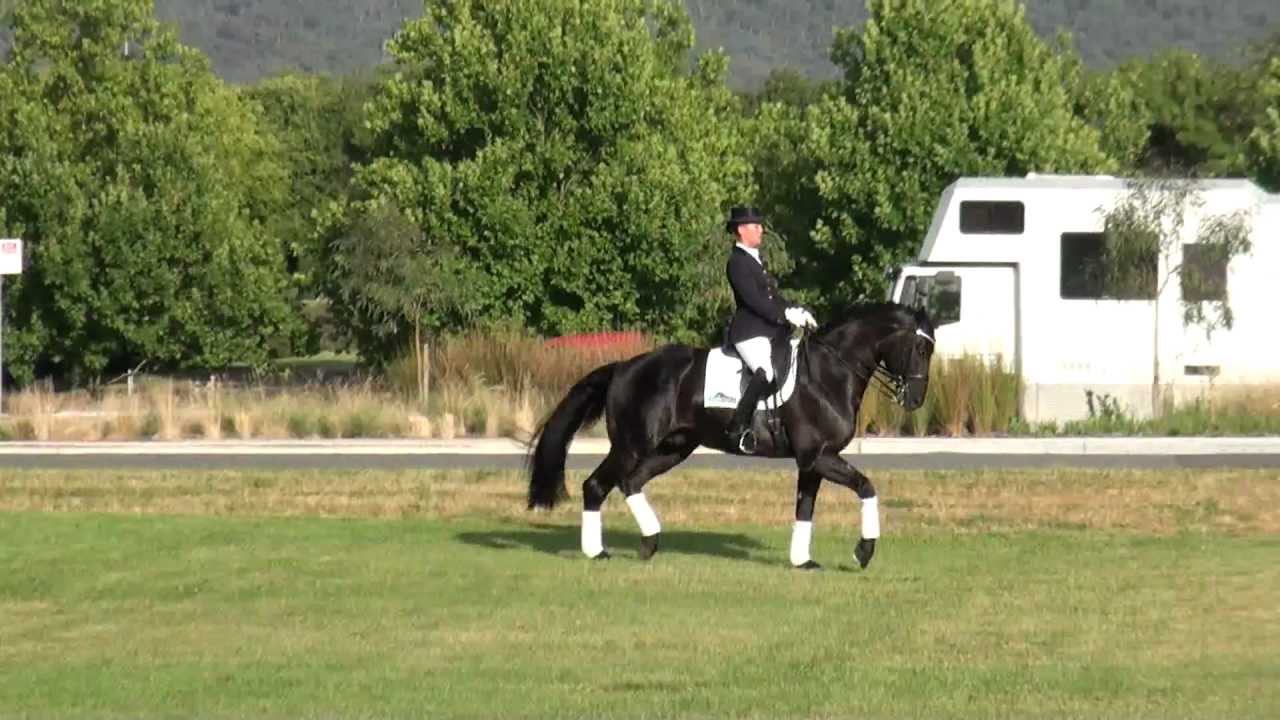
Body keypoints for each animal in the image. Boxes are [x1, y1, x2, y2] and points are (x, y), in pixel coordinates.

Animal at [524, 301, 936, 570]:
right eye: (919, 346)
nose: (915, 399)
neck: (829, 372)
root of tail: (625, 367)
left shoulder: (812, 461)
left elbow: (804, 508)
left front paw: (802, 560)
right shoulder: (820, 456)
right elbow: (866, 486)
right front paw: (863, 552)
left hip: (673, 448)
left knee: (630, 483)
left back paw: (649, 543)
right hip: (631, 445)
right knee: (596, 485)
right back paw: (598, 552)